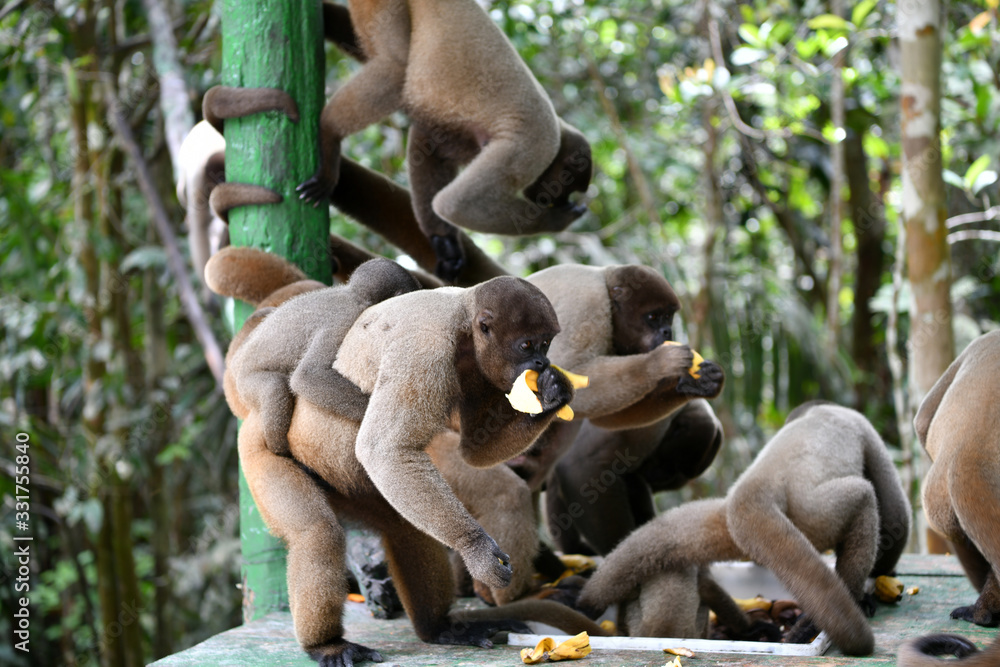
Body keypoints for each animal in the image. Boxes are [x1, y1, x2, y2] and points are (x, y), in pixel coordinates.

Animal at [295, 0, 593, 282]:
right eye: (568, 185)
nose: (563, 200)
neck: (559, 129)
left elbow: (431, 147)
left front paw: (444, 244)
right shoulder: (533, 145)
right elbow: (456, 204)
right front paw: (560, 219)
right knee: (396, 64)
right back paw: (329, 132)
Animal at [577, 403, 911, 656]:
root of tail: (755, 489)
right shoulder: (863, 426)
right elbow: (895, 511)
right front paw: (885, 573)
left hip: (727, 523)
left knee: (658, 541)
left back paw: (585, 603)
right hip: (815, 515)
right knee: (864, 497)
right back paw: (845, 604)